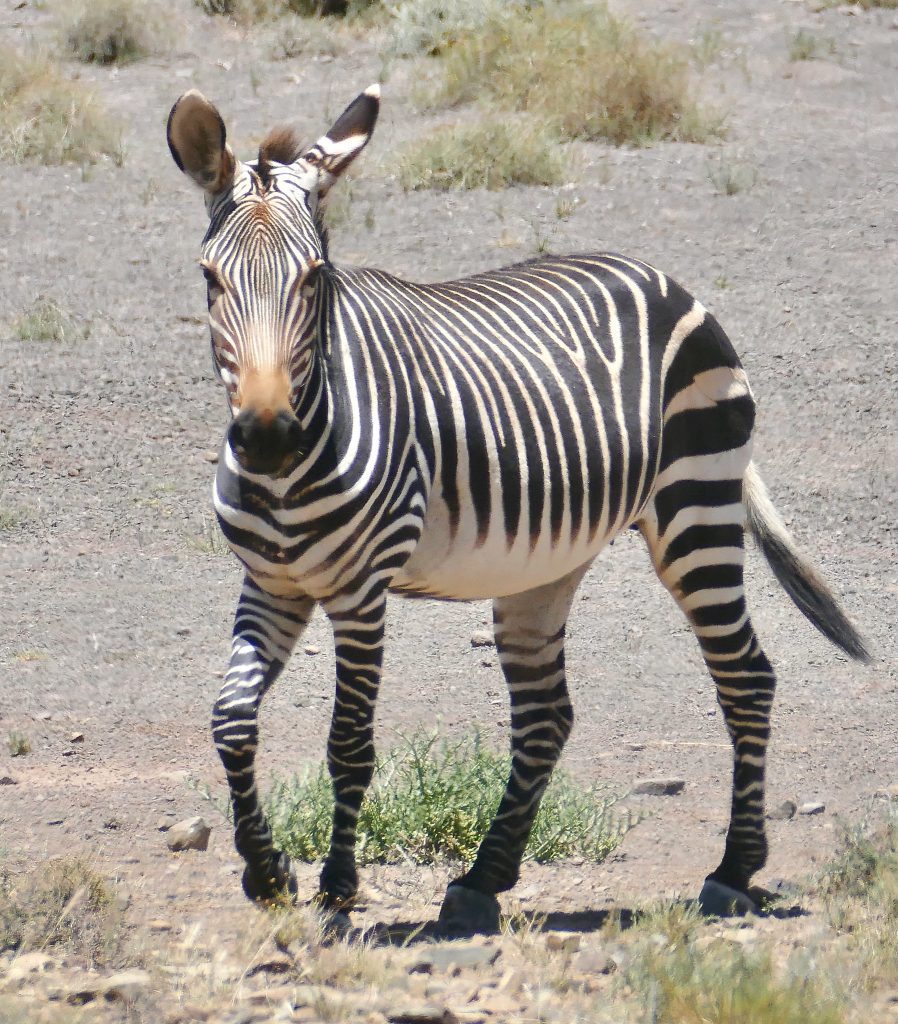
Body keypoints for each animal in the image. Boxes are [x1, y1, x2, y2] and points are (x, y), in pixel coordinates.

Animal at [166, 84, 868, 932]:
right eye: (211, 280)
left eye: (315, 279)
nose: (267, 436)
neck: (291, 467)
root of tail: (665, 277)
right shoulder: (273, 584)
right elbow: (231, 719)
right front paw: (267, 872)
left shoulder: (361, 592)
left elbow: (349, 743)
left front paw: (336, 891)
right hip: (545, 565)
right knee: (546, 715)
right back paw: (483, 878)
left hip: (695, 509)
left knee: (746, 677)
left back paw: (734, 869)